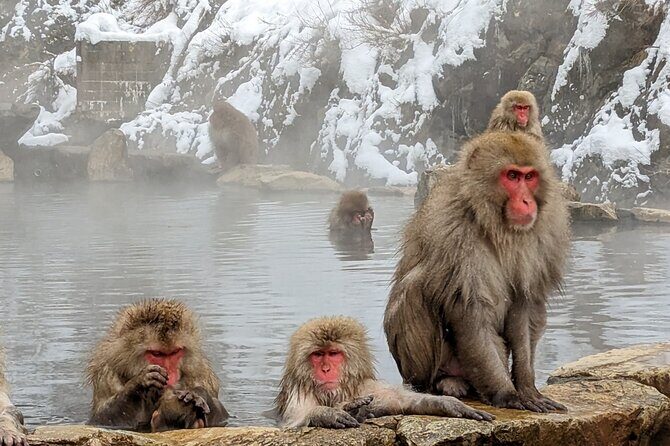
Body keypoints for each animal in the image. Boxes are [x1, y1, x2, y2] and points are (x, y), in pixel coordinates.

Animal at [86, 298, 229, 432]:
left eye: (175, 352)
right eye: (157, 353)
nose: (170, 373)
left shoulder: (201, 372)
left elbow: (222, 416)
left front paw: (197, 393)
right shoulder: (107, 374)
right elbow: (101, 419)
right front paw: (141, 382)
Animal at [273, 316, 494, 429]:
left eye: (333, 354)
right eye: (318, 355)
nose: (325, 369)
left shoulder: (367, 386)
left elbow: (402, 401)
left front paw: (448, 404)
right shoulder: (298, 392)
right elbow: (294, 421)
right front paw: (328, 414)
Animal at [384, 131, 570, 413]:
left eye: (529, 176)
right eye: (512, 176)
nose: (527, 201)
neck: (494, 223)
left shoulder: (543, 236)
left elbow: (524, 306)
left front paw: (527, 388)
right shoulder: (455, 234)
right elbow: (471, 310)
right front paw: (507, 394)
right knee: (416, 285)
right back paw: (439, 383)